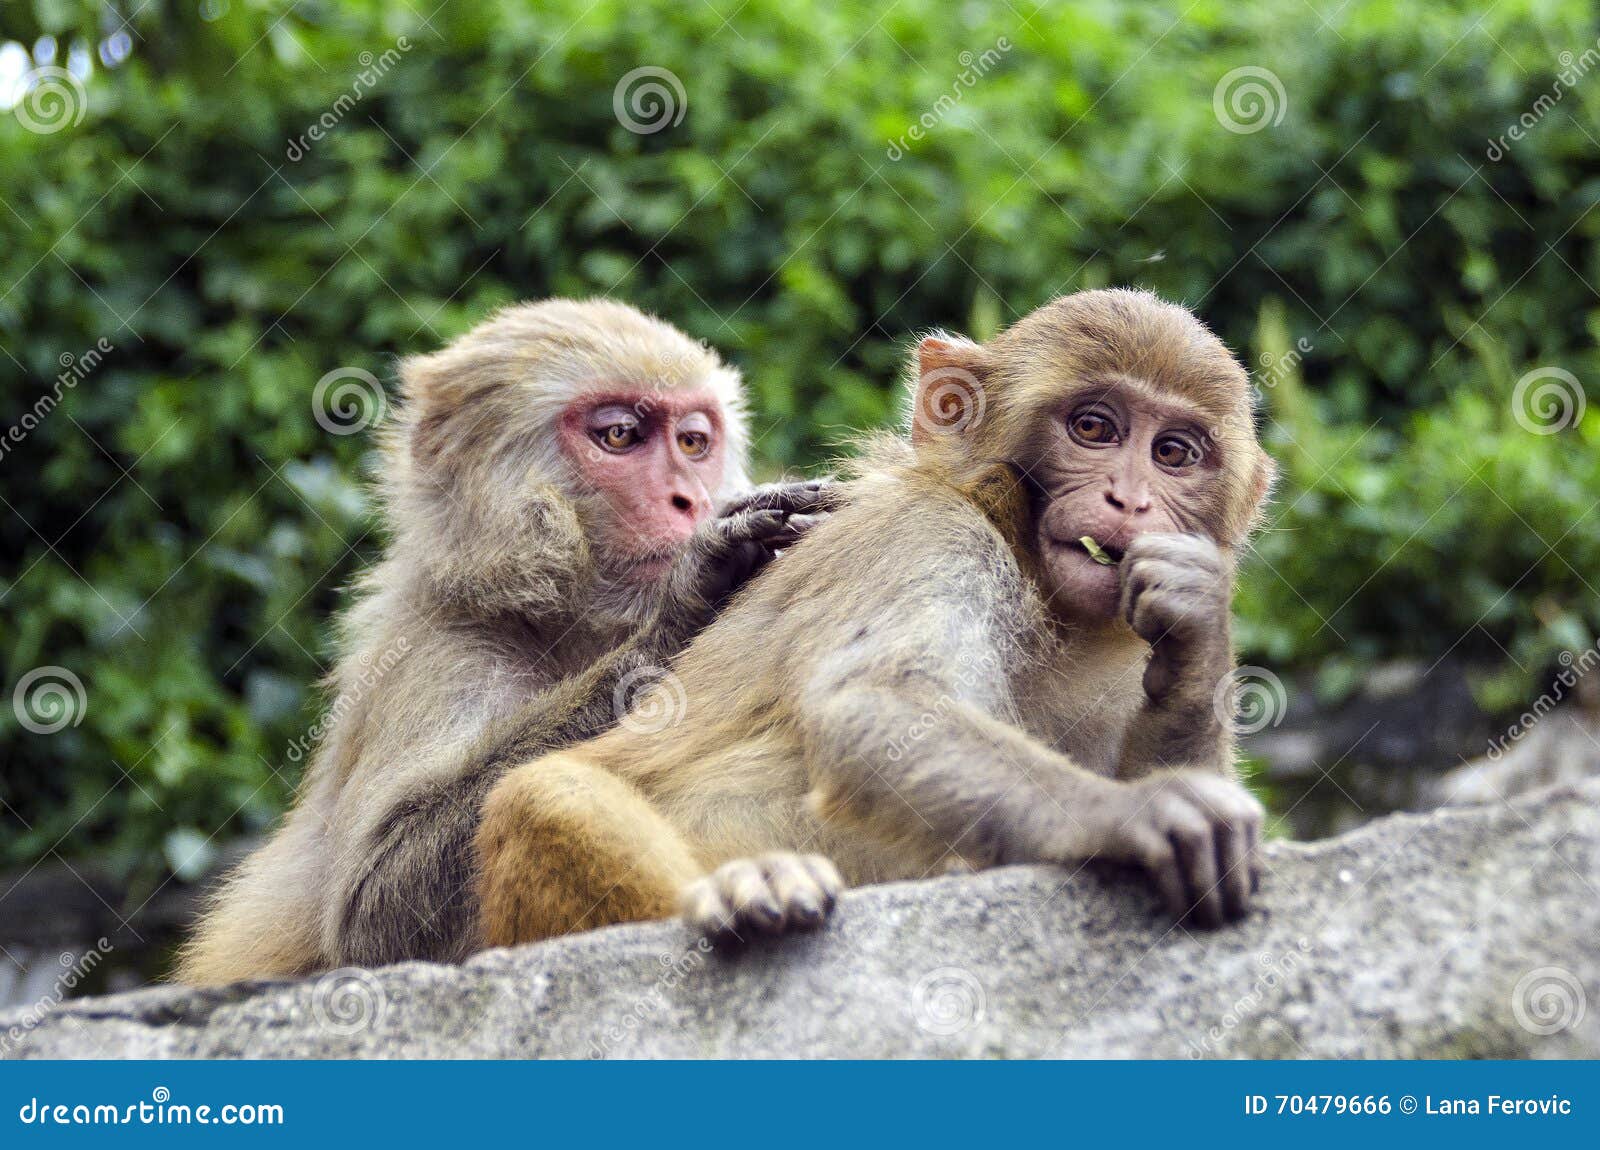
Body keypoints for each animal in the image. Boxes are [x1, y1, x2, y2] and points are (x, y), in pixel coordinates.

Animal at [177, 299, 834, 985]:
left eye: (692, 442)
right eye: (620, 435)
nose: (689, 500)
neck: (551, 621)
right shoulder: (441, 658)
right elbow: (373, 917)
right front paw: (687, 605)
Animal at [473, 288, 1277, 950]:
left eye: (1172, 452)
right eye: (1094, 428)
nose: (1128, 499)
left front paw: (1198, 632)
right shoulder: (932, 536)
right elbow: (877, 705)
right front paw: (1134, 811)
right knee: (545, 797)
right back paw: (744, 892)